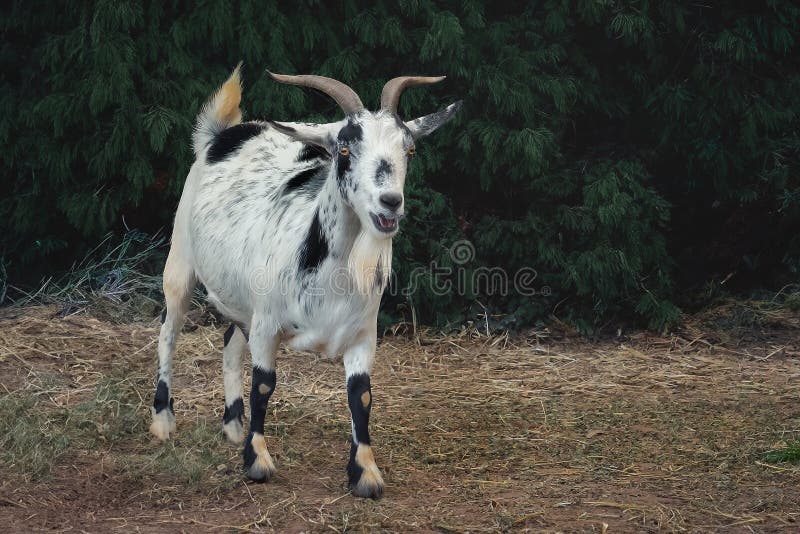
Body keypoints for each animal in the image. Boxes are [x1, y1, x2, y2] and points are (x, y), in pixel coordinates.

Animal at [149, 63, 460, 498]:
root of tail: (221, 134)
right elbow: (264, 384)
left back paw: (233, 425)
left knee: (230, 342)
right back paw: (163, 420)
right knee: (169, 332)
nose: (390, 203)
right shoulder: (267, 324)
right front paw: (257, 461)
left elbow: (361, 395)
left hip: (243, 301)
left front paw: (365, 472)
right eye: (344, 150)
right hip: (180, 258)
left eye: (409, 150)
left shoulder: (363, 334)